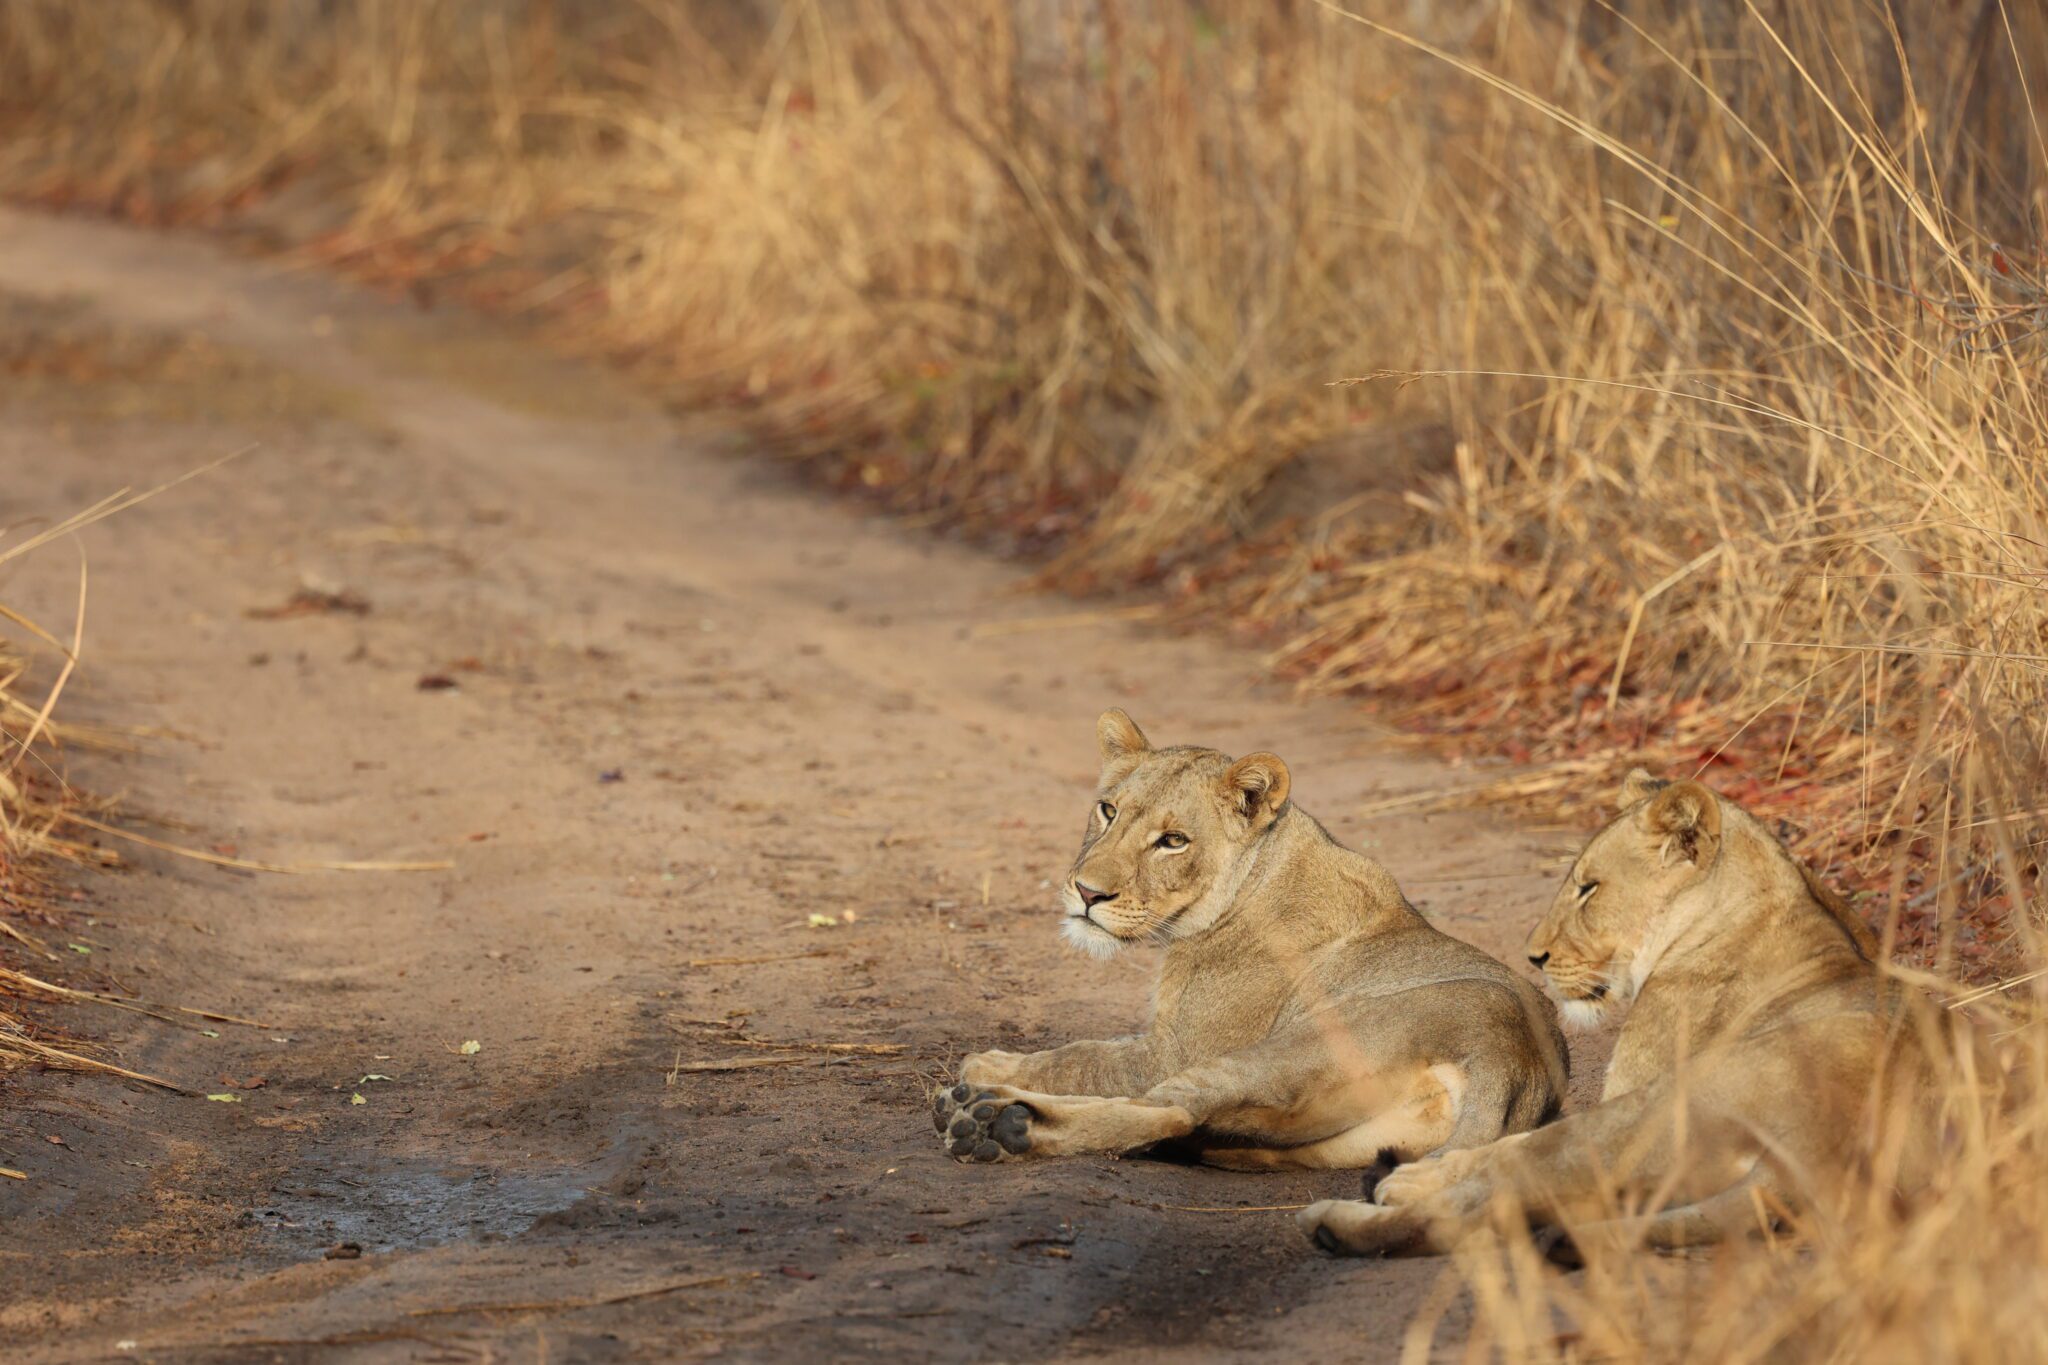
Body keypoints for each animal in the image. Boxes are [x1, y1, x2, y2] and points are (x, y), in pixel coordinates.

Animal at [931, 709, 1569, 1169]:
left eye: (1173, 841)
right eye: (1107, 810)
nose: (1087, 893)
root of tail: (1516, 1062)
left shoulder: (1176, 1049)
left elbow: (1084, 1057)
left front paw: (989, 1063)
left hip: (1287, 1050)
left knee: (1168, 1110)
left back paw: (987, 1118)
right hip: (1335, 1144)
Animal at [1298, 769, 1963, 1259]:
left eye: (1589, 887)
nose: (1532, 956)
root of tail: (1839, 1151)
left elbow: (1509, 1153)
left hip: (1655, 1111)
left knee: (1488, 1197)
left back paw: (1344, 1217)